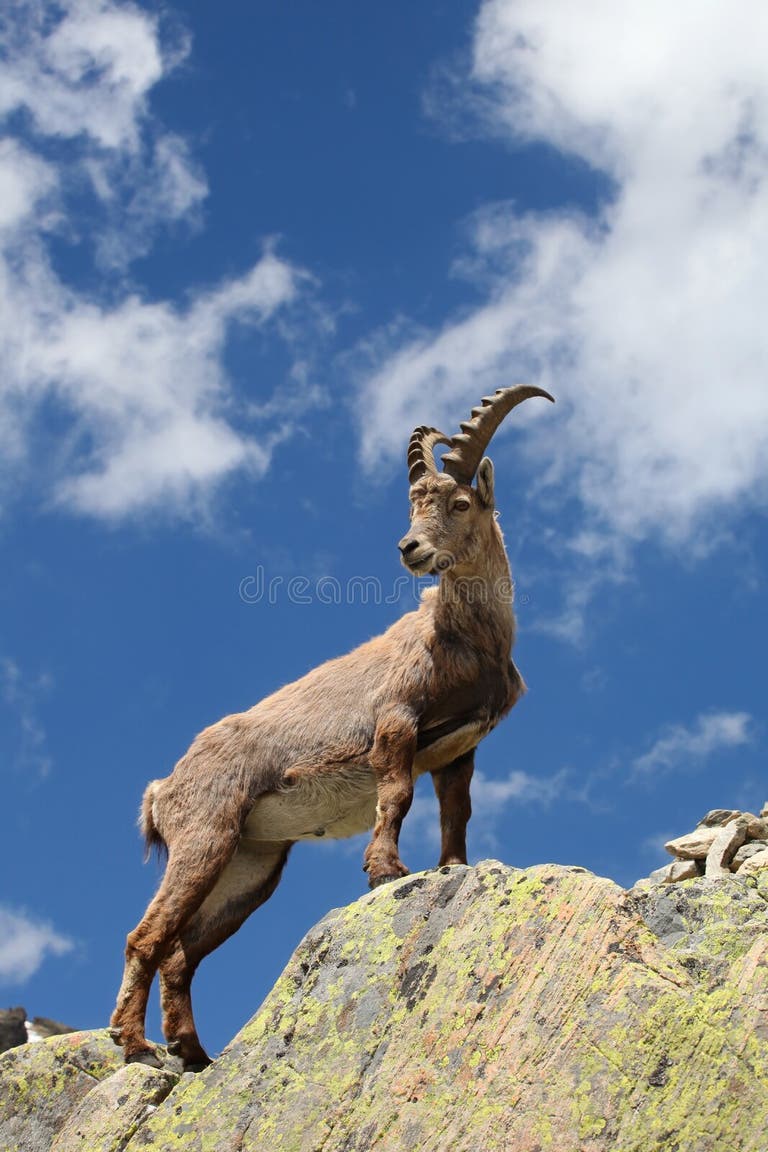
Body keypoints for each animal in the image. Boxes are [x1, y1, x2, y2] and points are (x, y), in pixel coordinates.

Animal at [110, 384, 554, 1070]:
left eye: (458, 502)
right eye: (414, 505)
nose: (410, 549)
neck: (466, 641)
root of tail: (163, 788)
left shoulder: (460, 749)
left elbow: (456, 812)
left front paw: (453, 868)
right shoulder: (396, 721)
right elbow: (394, 794)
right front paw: (386, 870)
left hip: (251, 866)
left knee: (182, 952)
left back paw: (194, 1053)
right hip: (205, 835)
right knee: (146, 936)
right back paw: (134, 1046)